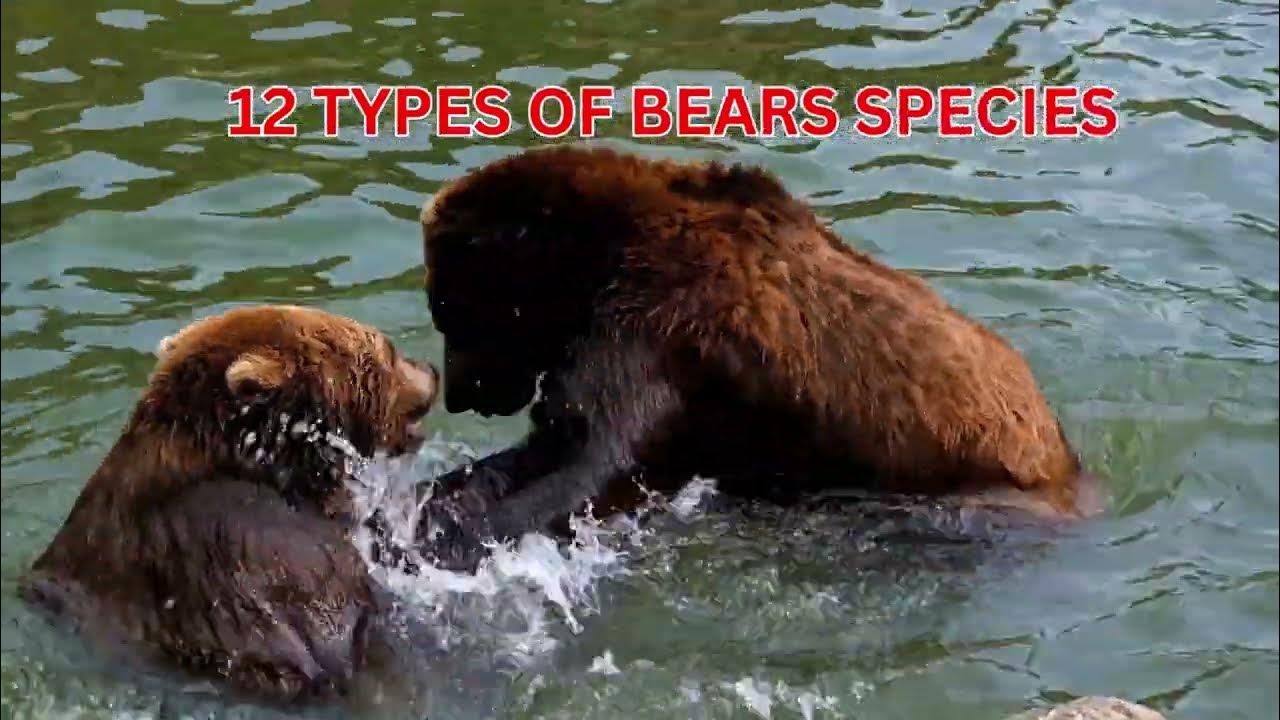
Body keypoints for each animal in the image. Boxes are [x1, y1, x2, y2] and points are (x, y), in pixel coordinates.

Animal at [410, 145, 1101, 573]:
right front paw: (442, 494)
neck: (591, 263)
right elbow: (550, 446)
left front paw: (452, 533)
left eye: (450, 309)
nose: (462, 392)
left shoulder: (657, 331)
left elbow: (595, 459)